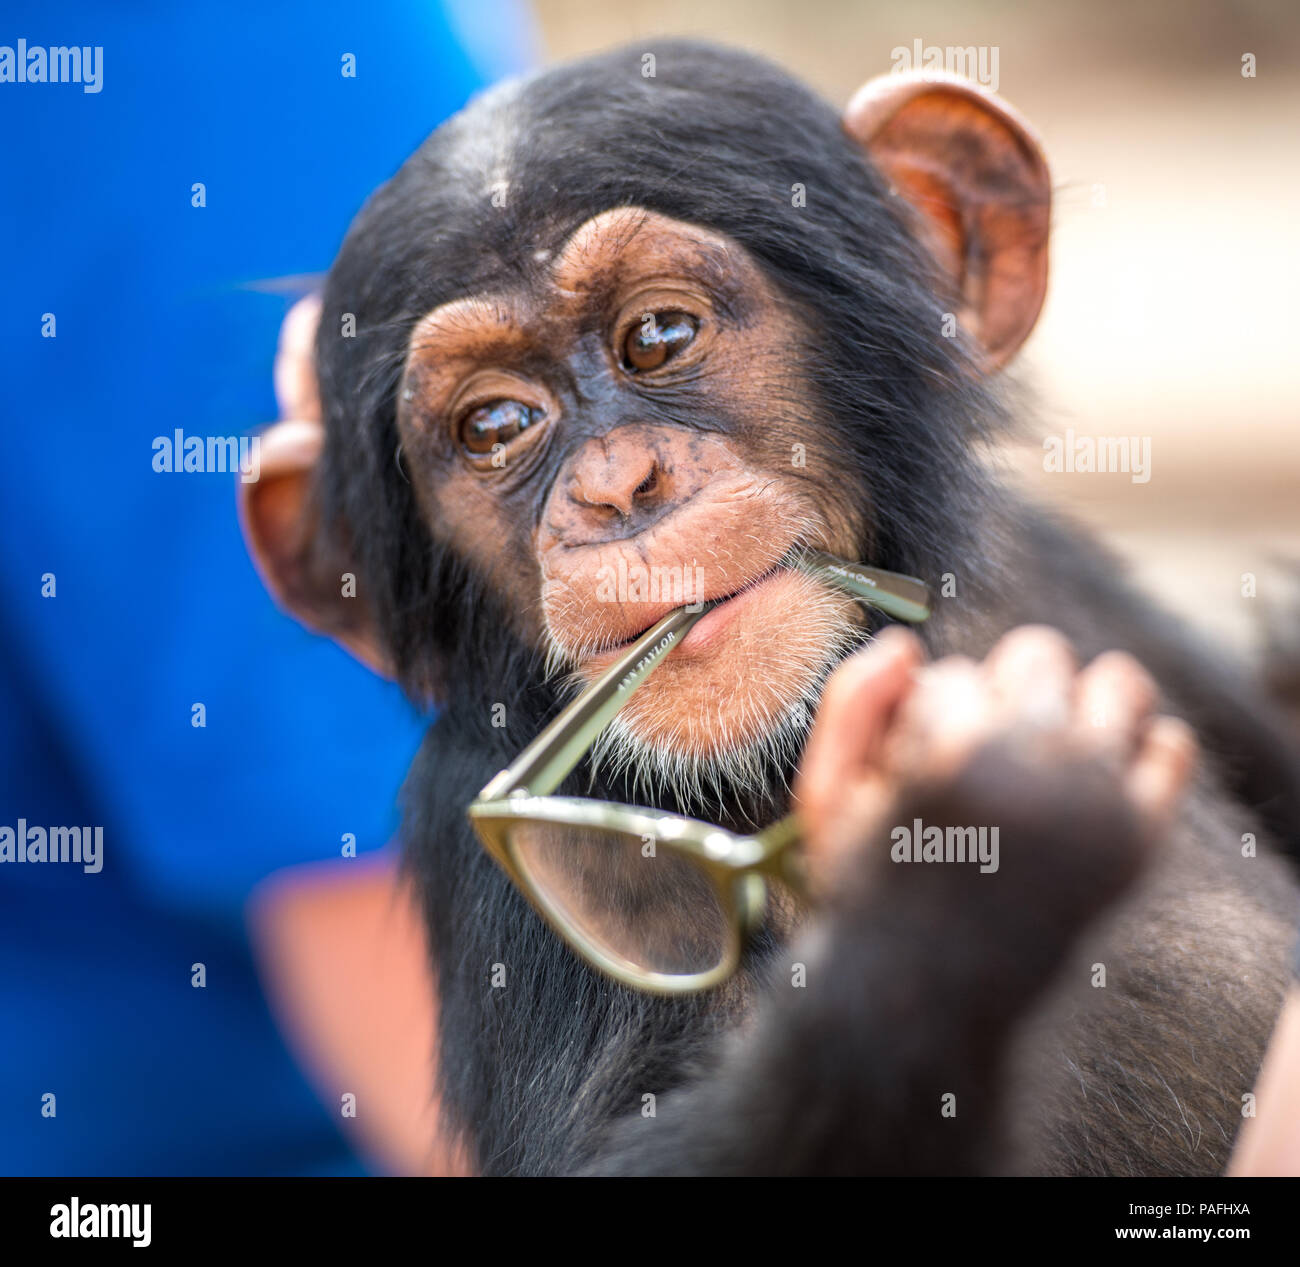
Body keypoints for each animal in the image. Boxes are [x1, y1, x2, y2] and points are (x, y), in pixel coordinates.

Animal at [239, 41, 1300, 1175]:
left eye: (659, 335)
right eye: (493, 427)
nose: (616, 487)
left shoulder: (1053, 568)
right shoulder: (482, 822)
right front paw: (973, 848)